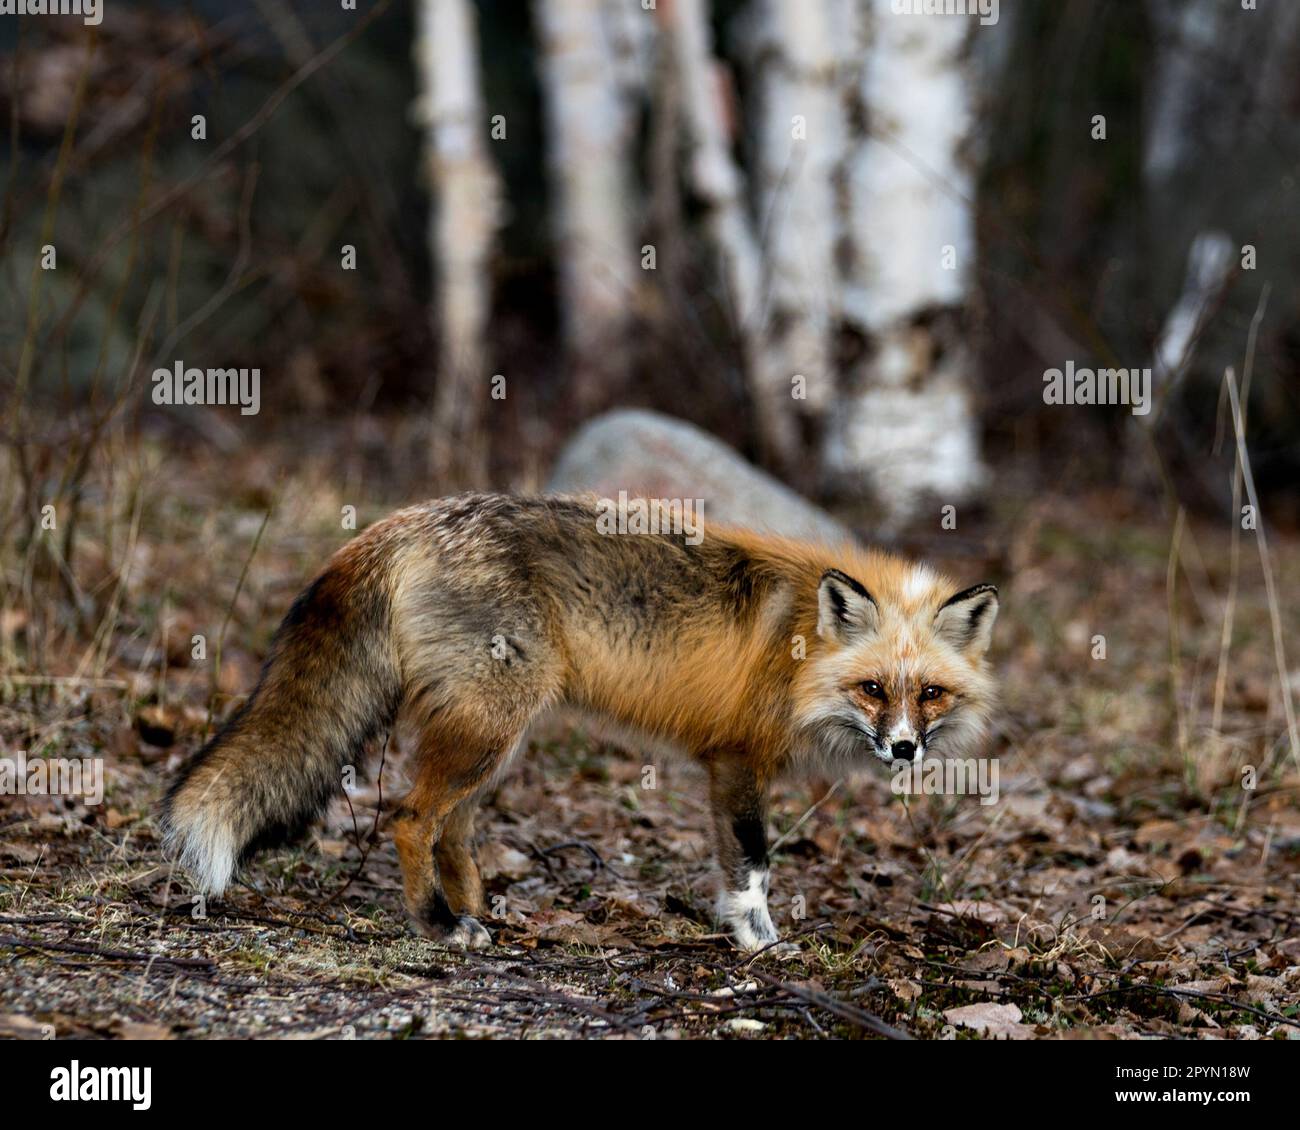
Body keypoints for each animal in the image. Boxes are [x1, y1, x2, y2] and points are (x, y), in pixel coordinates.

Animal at [161, 493, 999, 951]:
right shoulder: (736, 760)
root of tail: (401, 521)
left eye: (929, 694)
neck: (799, 651)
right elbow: (752, 867)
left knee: (454, 830)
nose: (904, 749)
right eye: (871, 688)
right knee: (409, 818)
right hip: (489, 728)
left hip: (496, 735)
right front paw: (761, 945)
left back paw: (477, 914)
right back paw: (436, 923)